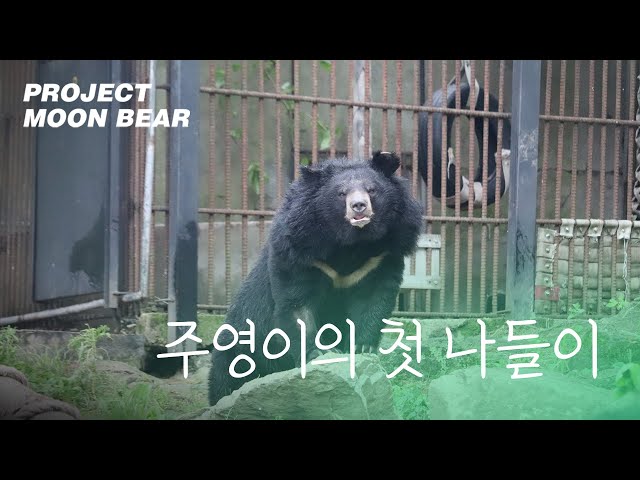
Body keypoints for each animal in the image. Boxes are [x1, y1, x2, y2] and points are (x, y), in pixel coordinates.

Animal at [208, 151, 424, 406]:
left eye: (372, 190)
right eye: (341, 193)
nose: (359, 207)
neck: (352, 244)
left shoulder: (380, 257)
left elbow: (372, 301)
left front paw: (361, 346)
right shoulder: (299, 252)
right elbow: (297, 305)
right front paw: (320, 352)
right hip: (242, 344)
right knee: (228, 377)